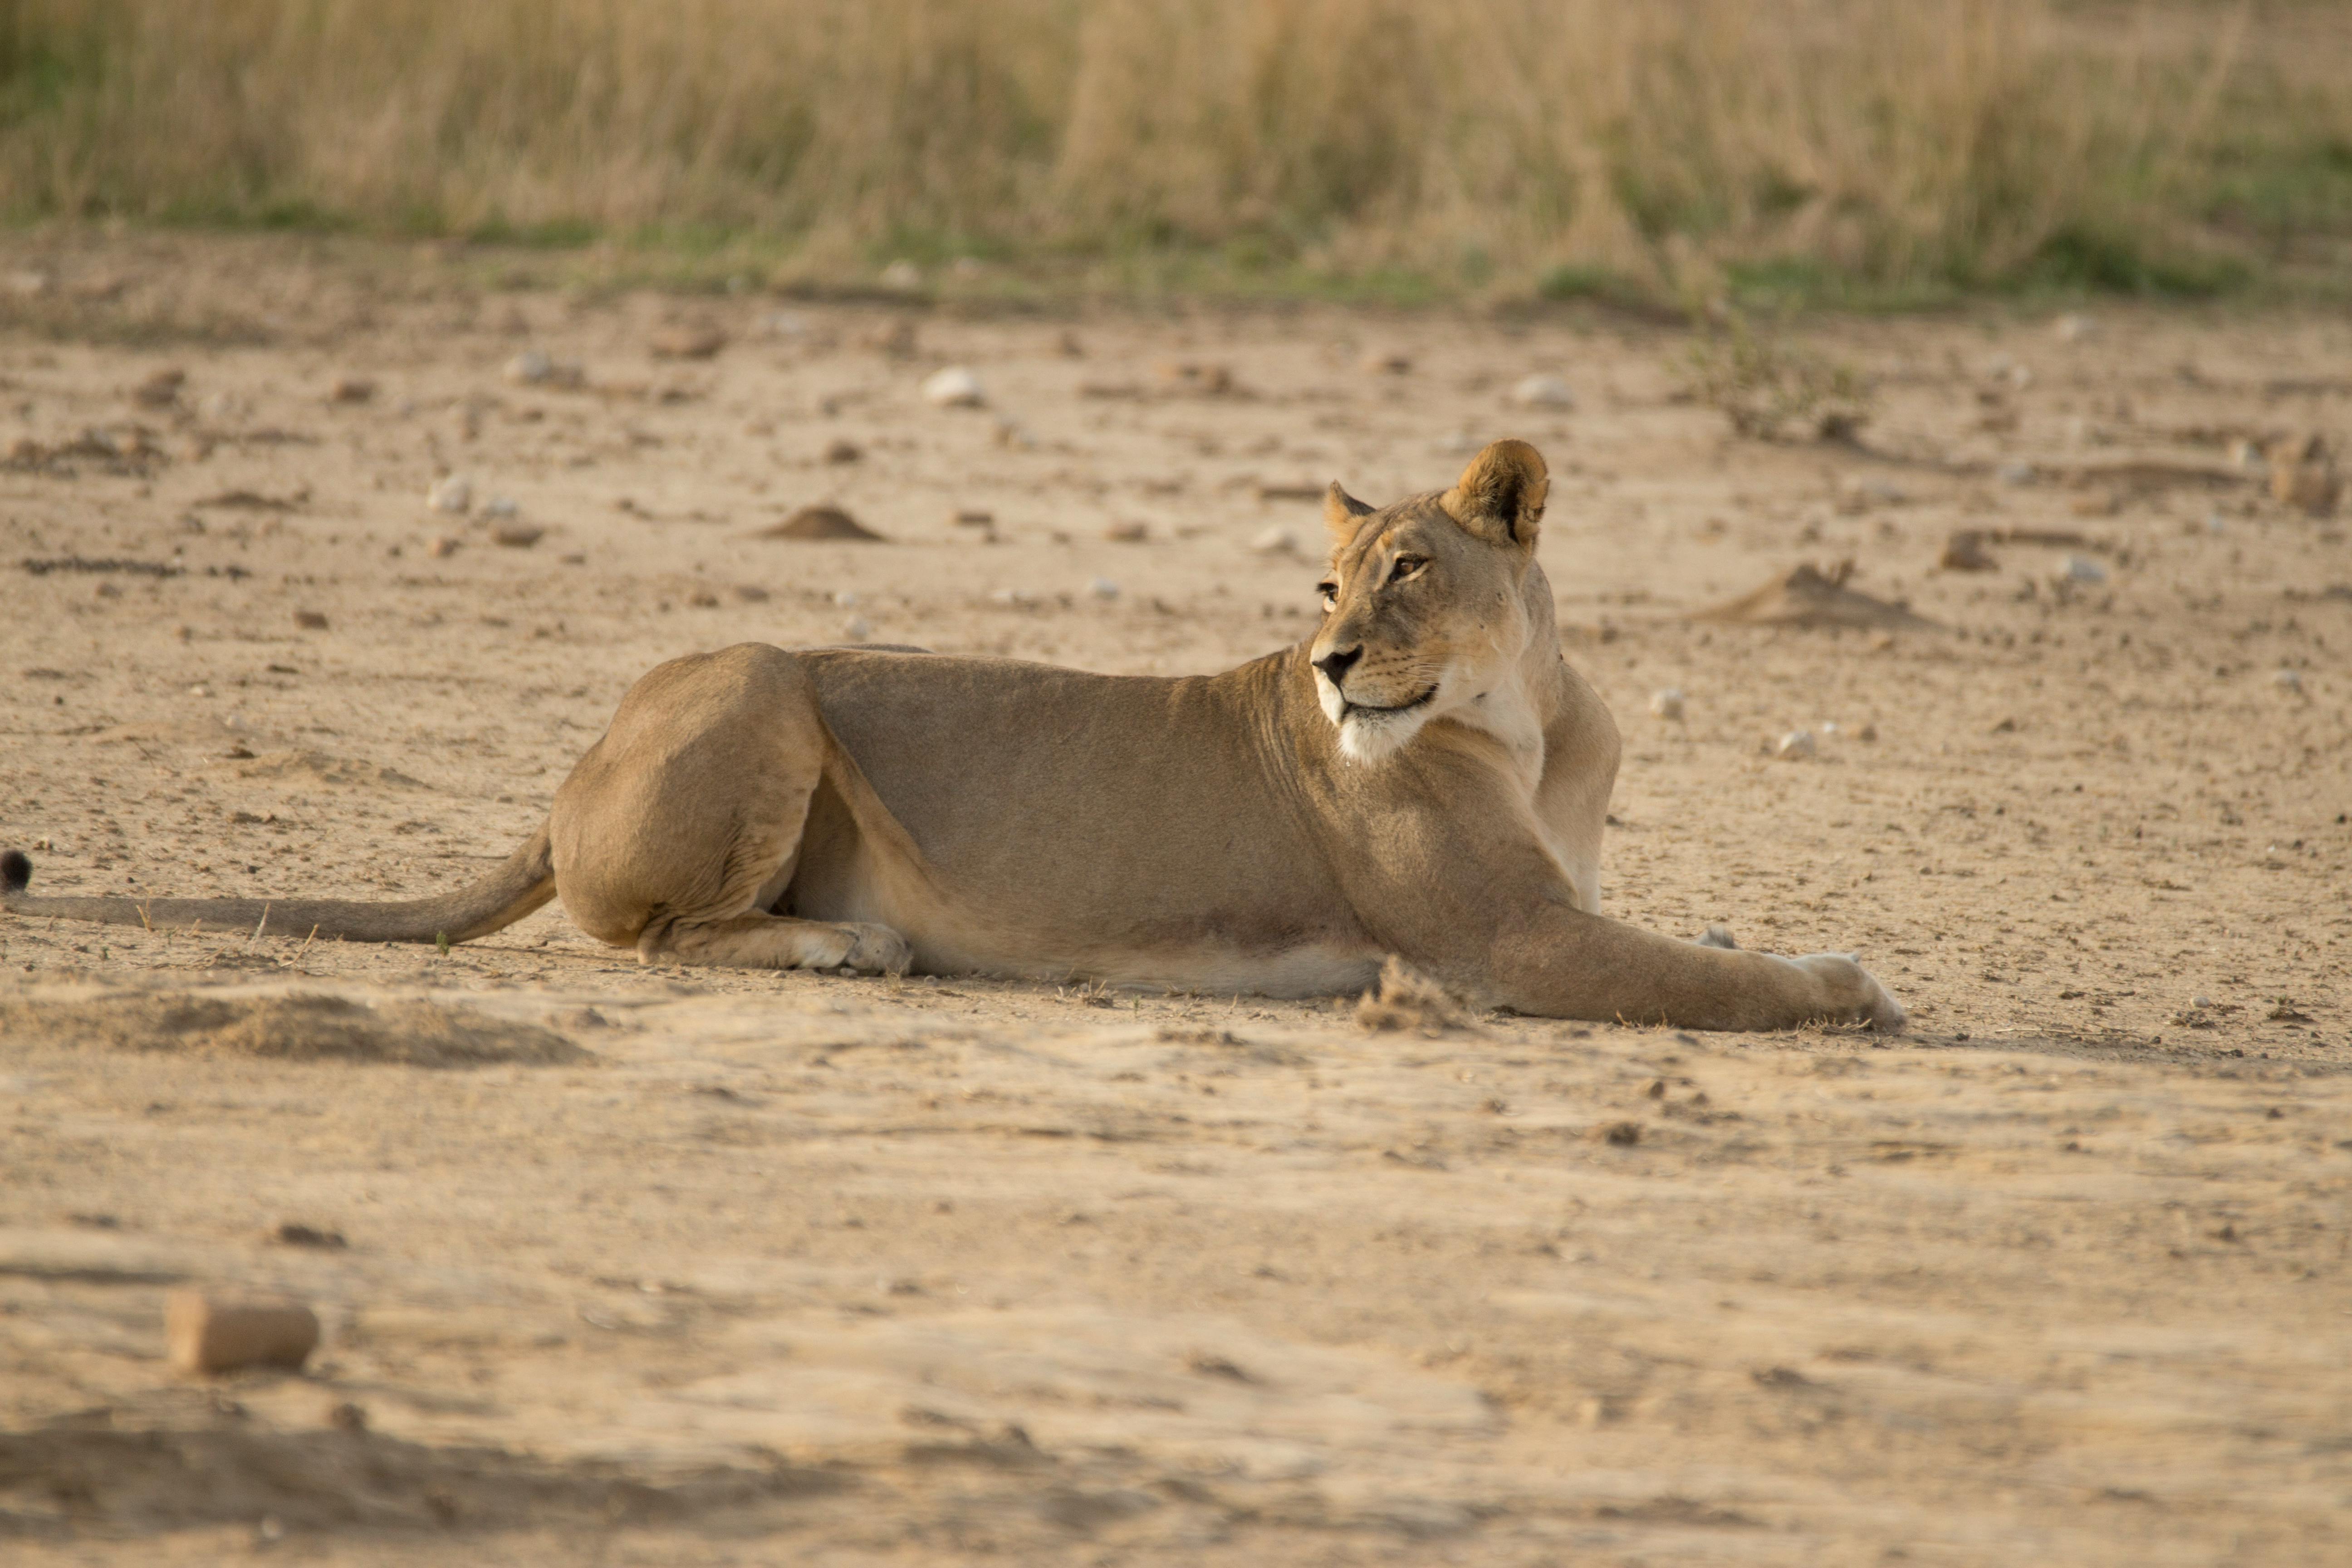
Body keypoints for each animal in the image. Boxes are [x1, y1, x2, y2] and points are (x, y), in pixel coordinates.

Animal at [2, 440, 1902, 1031]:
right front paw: (1853, 985)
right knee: (657, 939)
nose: (1330, 664)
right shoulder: (1514, 942)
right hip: (765, 678)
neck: (1531, 719)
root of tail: (568, 776)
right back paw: (846, 948)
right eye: (1326, 578)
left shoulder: (1550, 904)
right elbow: (1721, 974)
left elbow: (1705, 933)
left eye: (1409, 571)